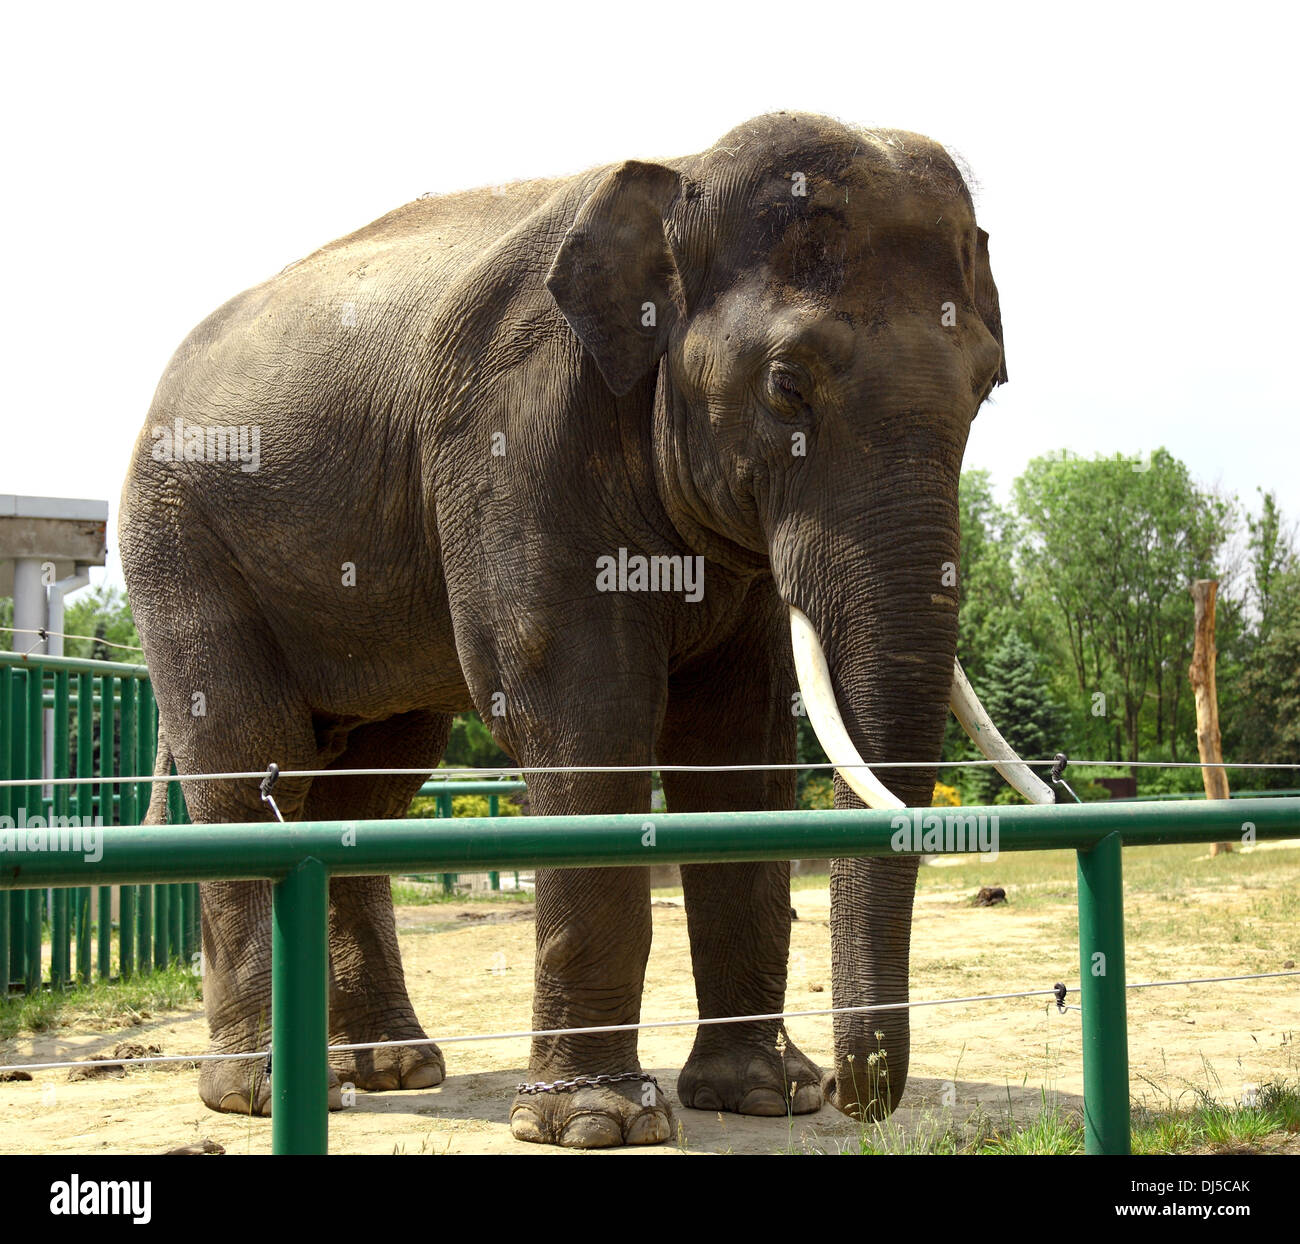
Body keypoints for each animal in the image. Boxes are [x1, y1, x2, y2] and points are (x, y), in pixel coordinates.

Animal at [118, 111, 1049, 1149]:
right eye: (785, 386)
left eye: (988, 385)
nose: (858, 1100)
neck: (682, 179)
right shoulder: (513, 432)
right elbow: (581, 716)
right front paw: (599, 1121)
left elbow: (738, 741)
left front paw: (763, 1096)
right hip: (178, 534)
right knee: (248, 755)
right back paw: (267, 1092)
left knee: (371, 783)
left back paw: (387, 1071)